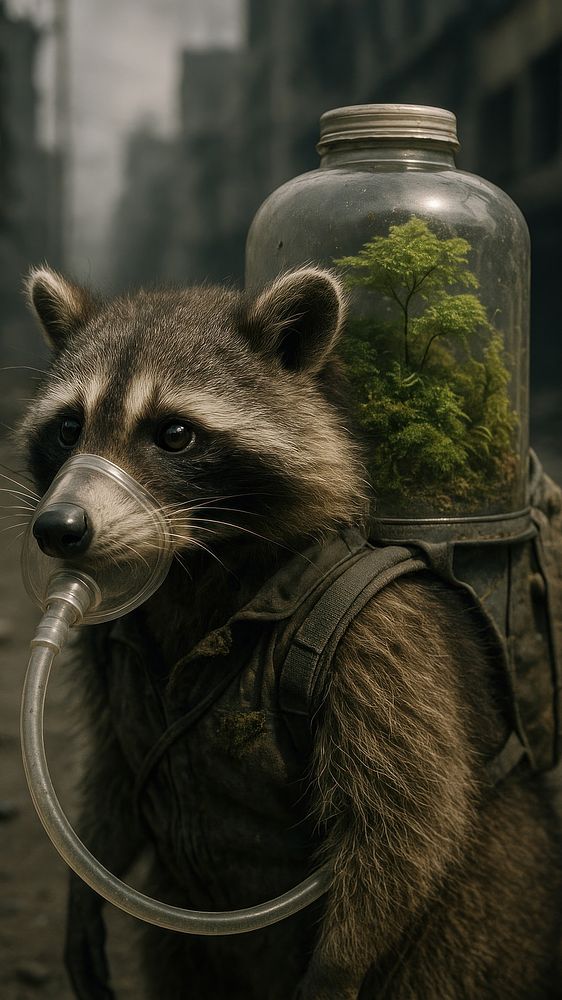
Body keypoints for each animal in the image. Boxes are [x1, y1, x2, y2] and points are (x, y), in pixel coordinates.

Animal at [19, 265, 562, 1000]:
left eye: (174, 434)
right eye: (69, 427)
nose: (59, 529)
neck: (196, 569)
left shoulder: (383, 633)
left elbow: (409, 816)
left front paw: (338, 965)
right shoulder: (102, 644)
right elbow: (111, 767)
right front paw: (87, 891)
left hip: (473, 927)